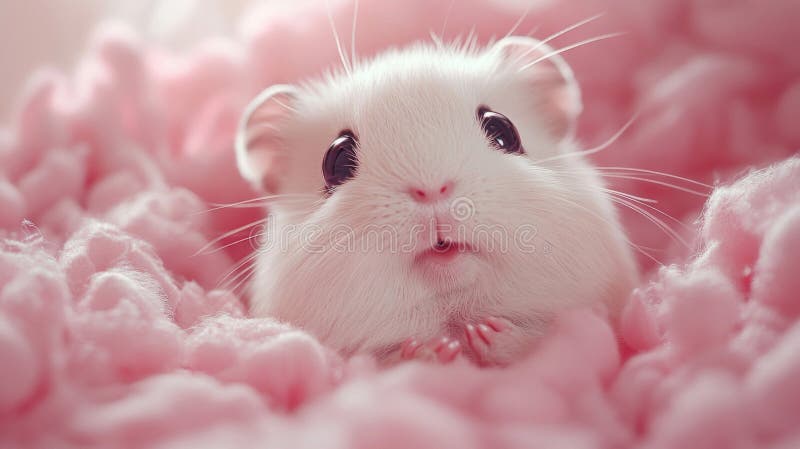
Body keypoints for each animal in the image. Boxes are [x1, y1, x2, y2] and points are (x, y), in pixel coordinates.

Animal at [234, 36, 638, 366]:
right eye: (335, 160)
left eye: (503, 129)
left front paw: (487, 335)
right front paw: (432, 351)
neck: (454, 314)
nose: (431, 190)